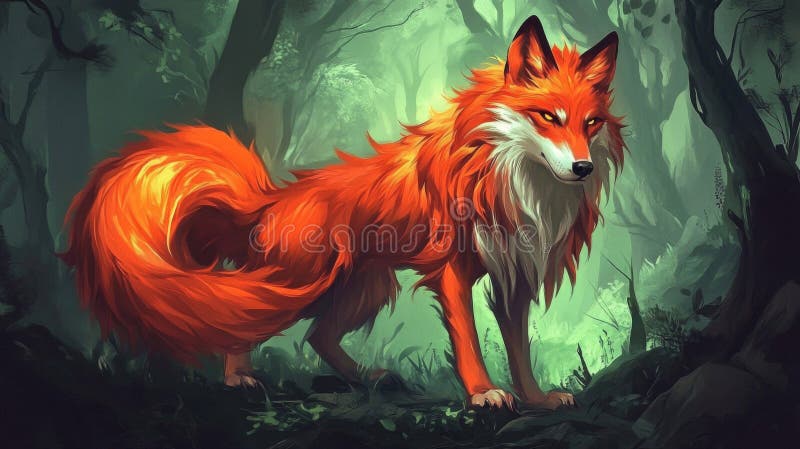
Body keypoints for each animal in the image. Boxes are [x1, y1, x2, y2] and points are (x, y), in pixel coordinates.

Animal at [62, 16, 623, 410]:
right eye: (548, 116)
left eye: (591, 123)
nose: (582, 168)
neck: (514, 185)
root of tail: (272, 199)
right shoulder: (452, 270)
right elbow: (467, 340)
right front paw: (483, 392)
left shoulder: (515, 276)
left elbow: (520, 350)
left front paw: (535, 399)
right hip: (300, 282)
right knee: (242, 313)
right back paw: (239, 377)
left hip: (364, 288)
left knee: (318, 336)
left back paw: (367, 380)